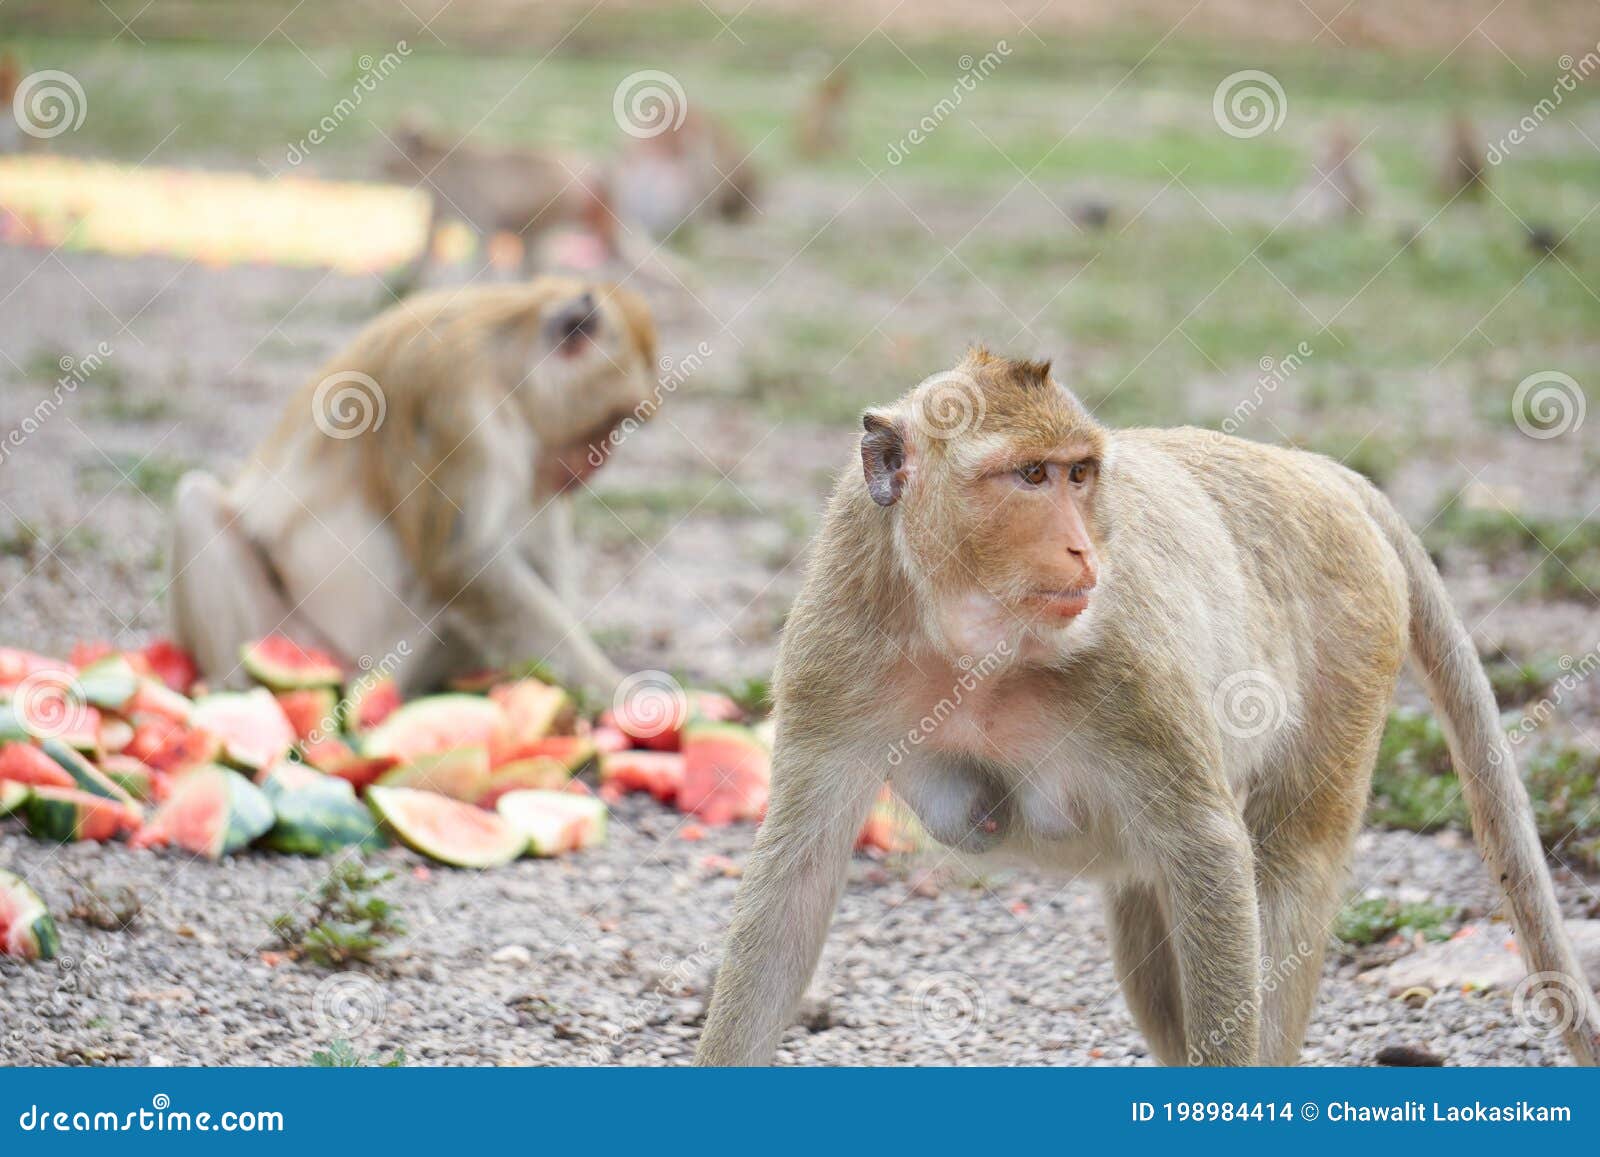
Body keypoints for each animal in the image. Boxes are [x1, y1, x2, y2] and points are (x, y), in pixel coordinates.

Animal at [166, 277, 659, 700]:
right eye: (612, 422)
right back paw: (237, 692)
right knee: (196, 502)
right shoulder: (452, 402)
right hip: (304, 639)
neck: (505, 364)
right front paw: (613, 687)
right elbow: (463, 562)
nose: (601, 458)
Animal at [696, 349, 1600, 1067]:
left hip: (1352, 648)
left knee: (1288, 863)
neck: (970, 637)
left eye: (1078, 473)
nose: (1081, 547)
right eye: (1030, 475)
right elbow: (796, 879)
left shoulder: (1132, 666)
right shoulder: (833, 656)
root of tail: (1318, 469)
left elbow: (1209, 846)